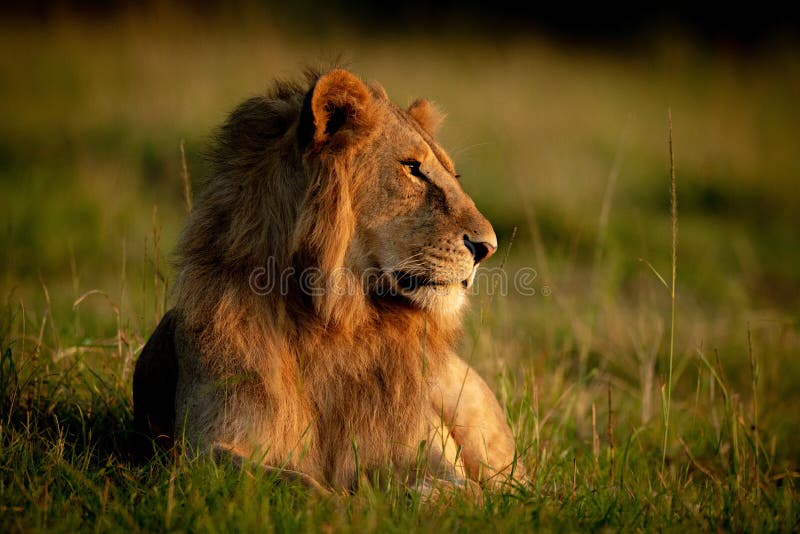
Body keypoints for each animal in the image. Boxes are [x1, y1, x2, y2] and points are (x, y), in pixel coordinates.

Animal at [133, 68, 525, 494]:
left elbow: (462, 488)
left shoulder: (428, 447)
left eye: (453, 175)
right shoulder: (202, 449)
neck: (340, 319)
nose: (488, 247)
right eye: (412, 168)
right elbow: (298, 484)